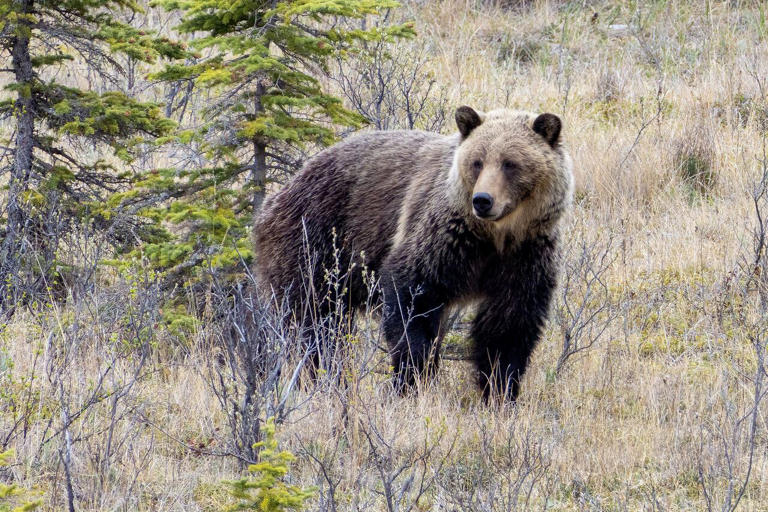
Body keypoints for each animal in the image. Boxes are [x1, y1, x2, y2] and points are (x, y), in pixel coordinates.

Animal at [253, 106, 573, 400]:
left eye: (510, 163)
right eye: (477, 162)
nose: (482, 200)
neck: (494, 237)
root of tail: (277, 195)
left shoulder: (524, 256)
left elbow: (508, 325)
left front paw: (500, 390)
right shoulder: (442, 240)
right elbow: (412, 301)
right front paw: (411, 379)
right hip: (314, 245)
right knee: (317, 322)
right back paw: (326, 379)